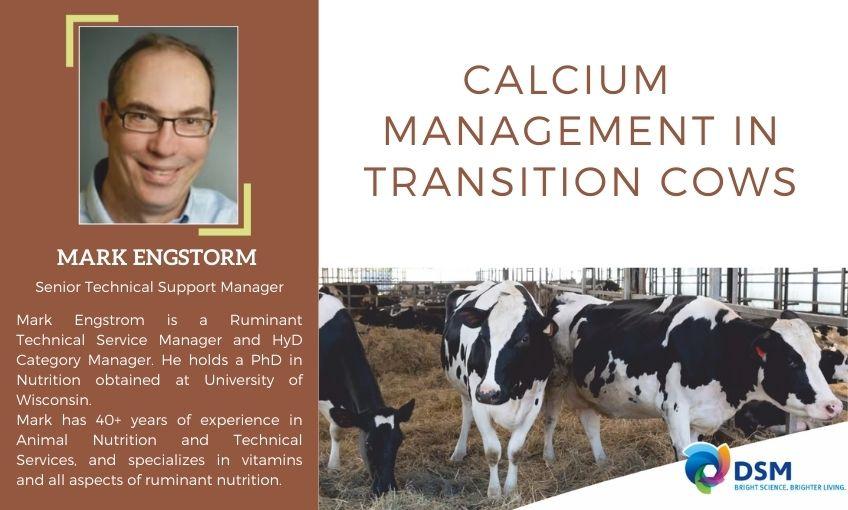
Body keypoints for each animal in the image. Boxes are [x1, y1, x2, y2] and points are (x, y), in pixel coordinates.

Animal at [441, 281, 558, 497]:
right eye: (482, 336)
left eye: (525, 338)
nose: (489, 393)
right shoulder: (479, 400)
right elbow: (493, 451)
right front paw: (494, 492)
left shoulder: (534, 403)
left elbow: (515, 450)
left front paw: (510, 490)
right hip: (465, 392)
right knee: (466, 417)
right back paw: (458, 452)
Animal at [542, 293, 843, 464]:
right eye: (792, 360)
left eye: (818, 358)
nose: (835, 406)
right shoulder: (674, 410)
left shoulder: (700, 415)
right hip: (555, 378)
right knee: (551, 417)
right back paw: (549, 457)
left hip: (585, 388)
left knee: (590, 421)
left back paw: (602, 461)